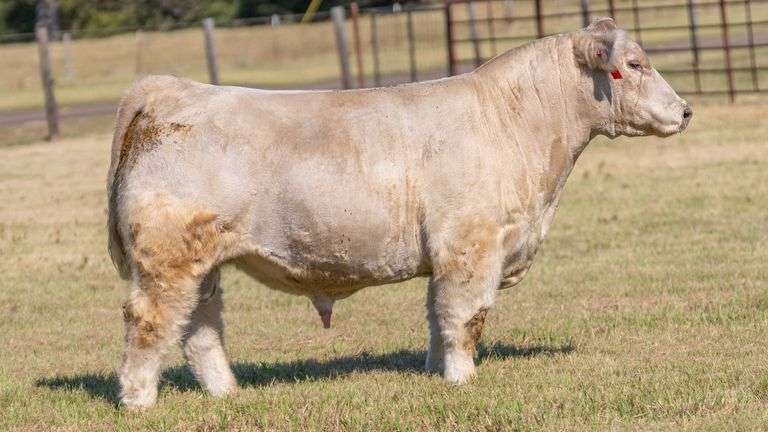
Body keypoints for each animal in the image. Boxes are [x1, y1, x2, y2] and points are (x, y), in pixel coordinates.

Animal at [107, 18, 691, 409]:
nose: (686, 111)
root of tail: (173, 89)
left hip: (200, 264)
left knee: (199, 327)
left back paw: (226, 392)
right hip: (167, 260)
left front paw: (436, 371)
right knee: (150, 322)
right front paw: (462, 378)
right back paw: (138, 401)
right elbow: (465, 316)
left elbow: (436, 314)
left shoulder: (450, 254)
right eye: (634, 65)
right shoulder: (471, 245)